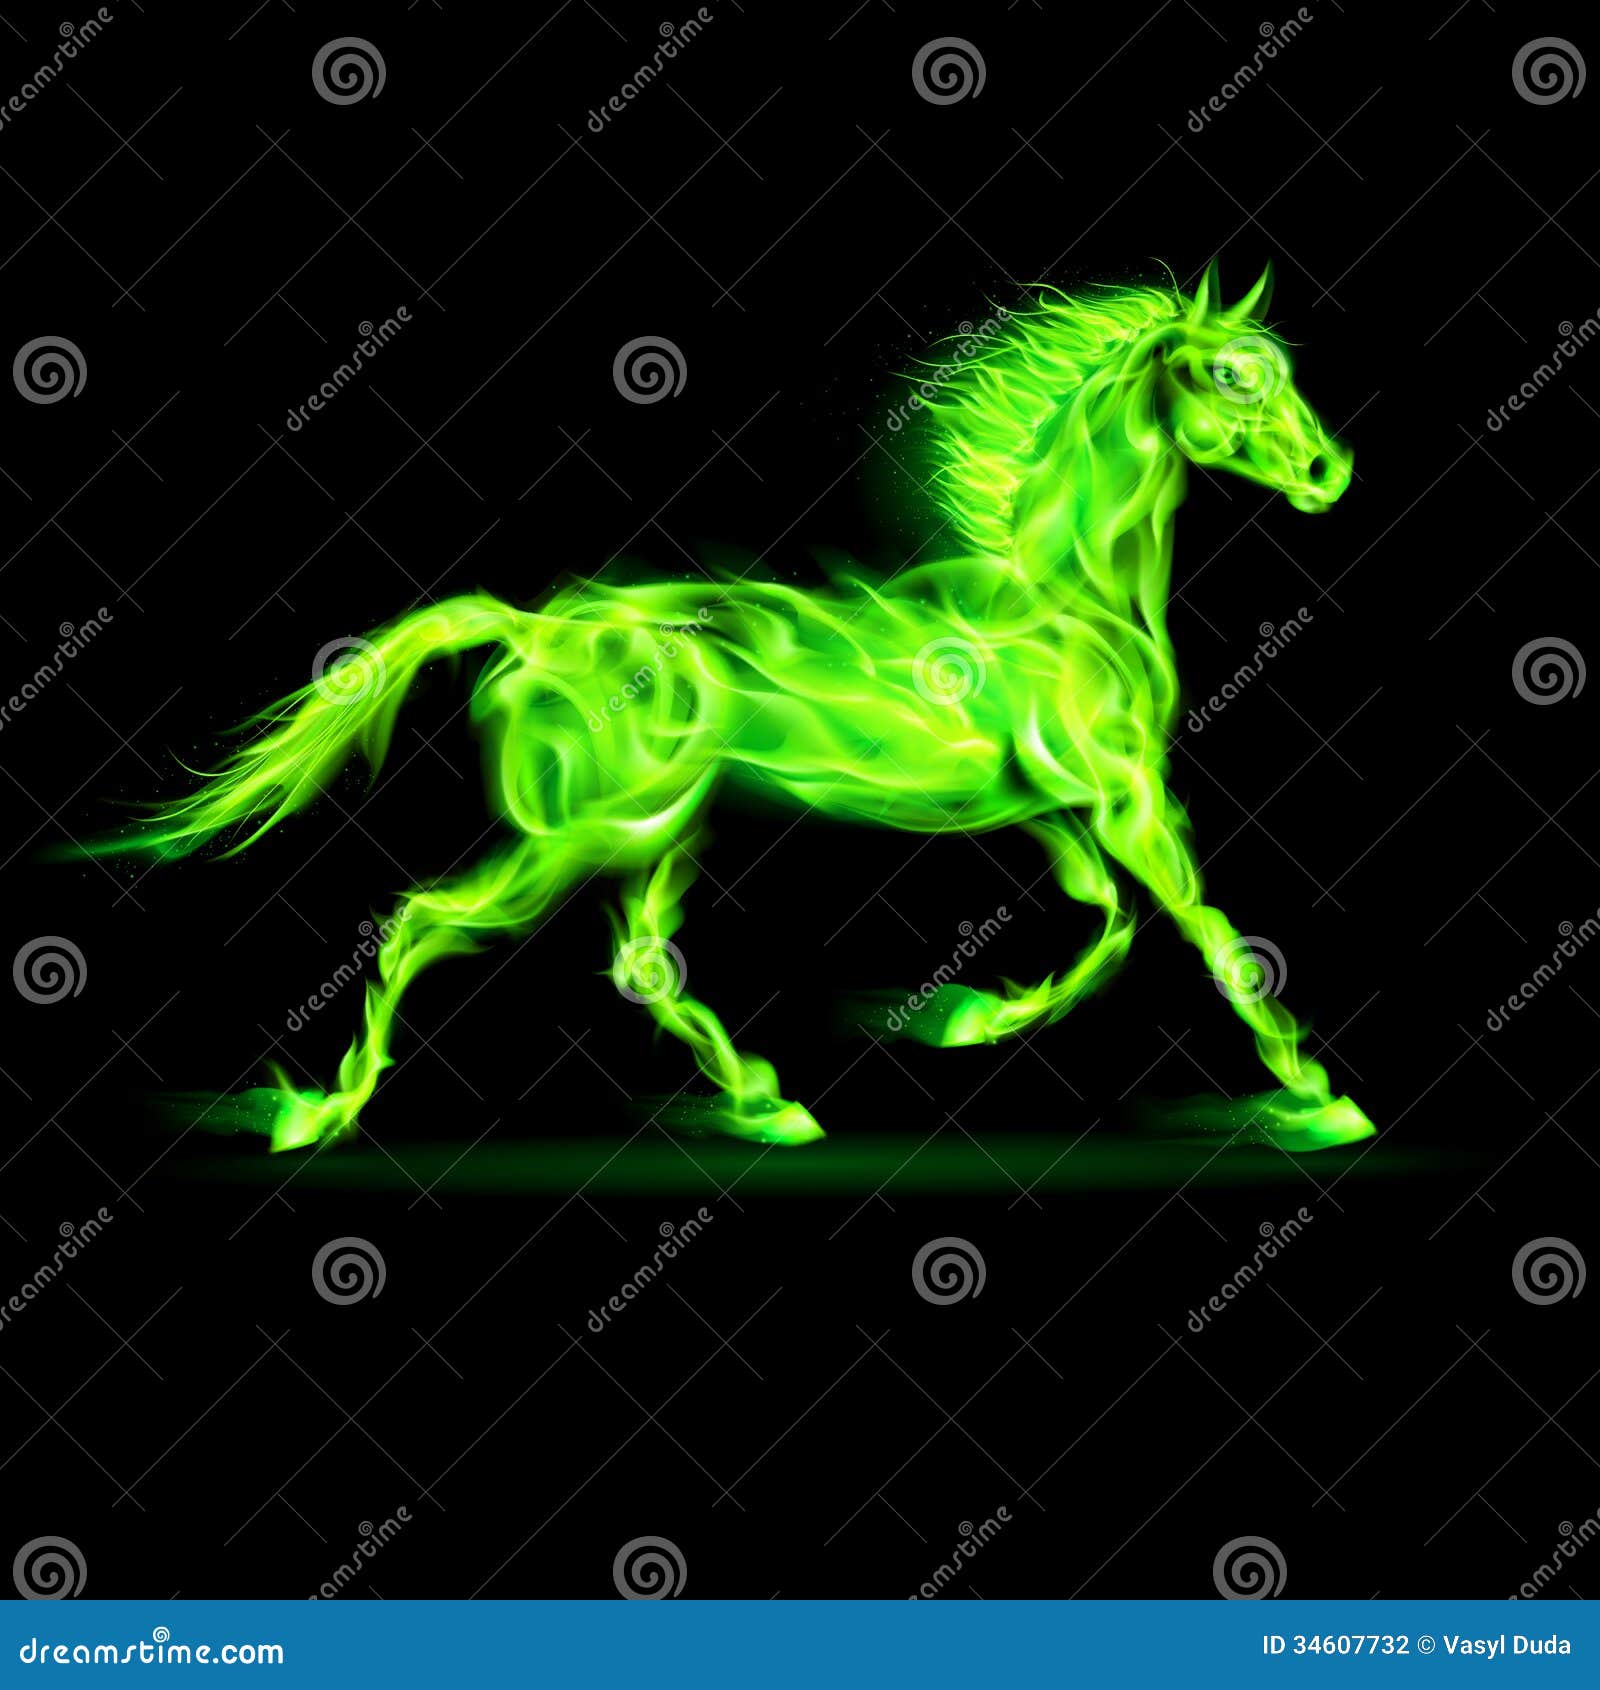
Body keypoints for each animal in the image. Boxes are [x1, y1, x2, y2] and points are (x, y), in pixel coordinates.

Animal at [93, 262, 1375, 1157]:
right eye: (1231, 375)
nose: (1329, 475)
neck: (1068, 598)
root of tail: (532, 630)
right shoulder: (1123, 796)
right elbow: (1203, 934)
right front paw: (1320, 1097)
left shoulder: (1058, 808)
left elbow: (1104, 923)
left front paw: (962, 1019)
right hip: (585, 834)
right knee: (421, 923)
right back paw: (319, 1117)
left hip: (661, 828)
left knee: (638, 964)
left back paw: (768, 1102)